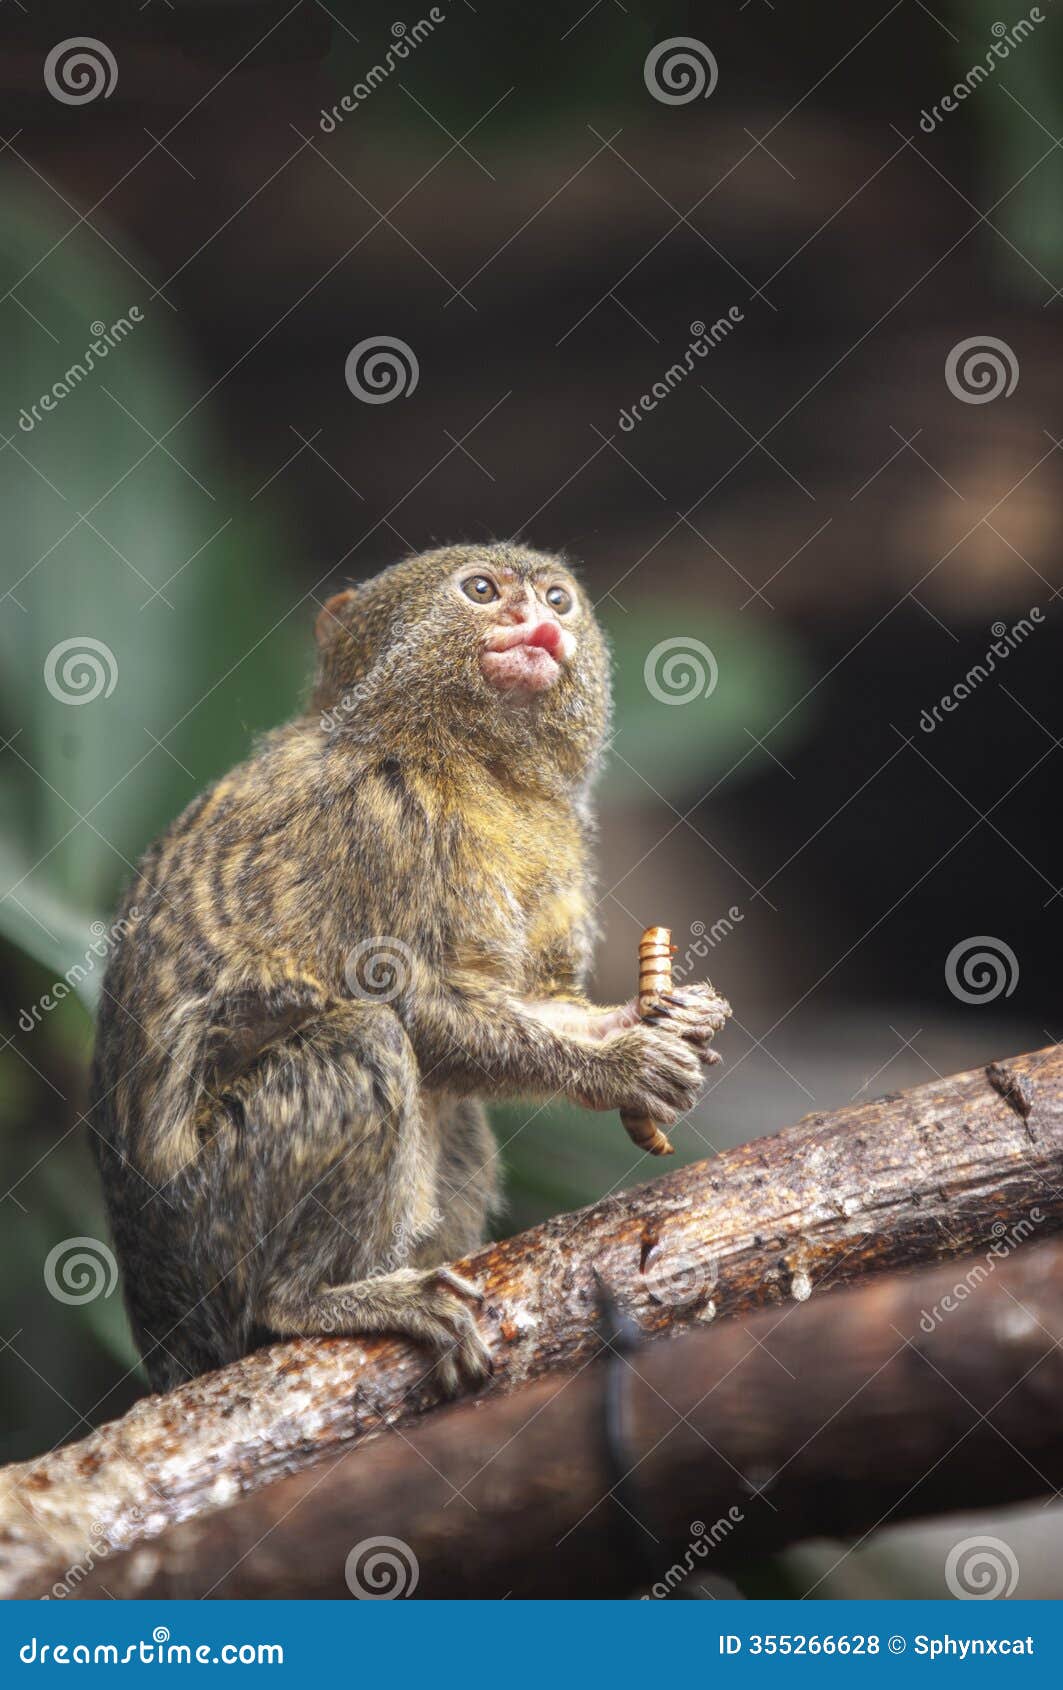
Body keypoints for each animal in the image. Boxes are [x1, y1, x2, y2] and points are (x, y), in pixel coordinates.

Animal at [88, 543, 730, 1395]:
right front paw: (622, 1069)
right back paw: (312, 1301)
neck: (471, 763)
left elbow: (519, 999)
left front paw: (649, 1019)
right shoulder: (379, 820)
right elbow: (412, 1004)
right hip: (211, 1226)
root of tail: (165, 1337)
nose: (537, 619)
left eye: (558, 599)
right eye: (481, 591)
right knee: (366, 1041)